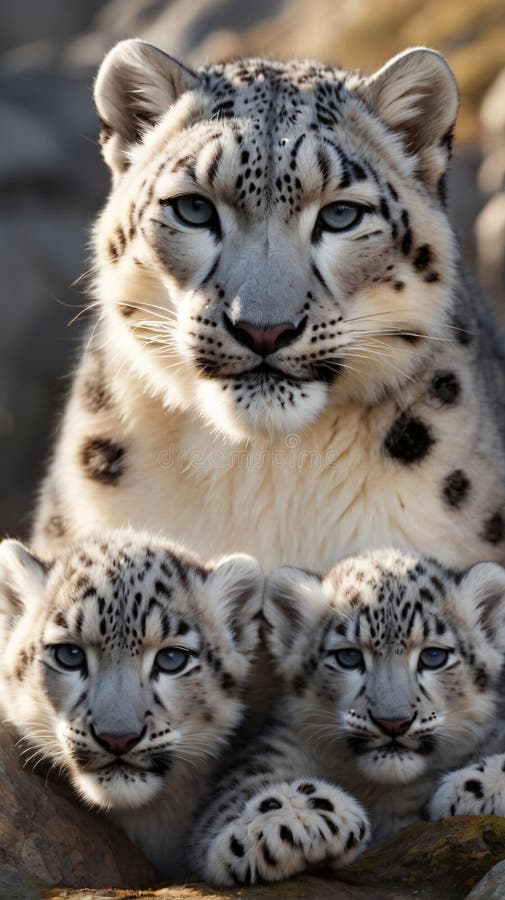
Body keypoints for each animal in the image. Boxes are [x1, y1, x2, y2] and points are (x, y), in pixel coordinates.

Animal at [190, 548, 505, 885]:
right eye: (349, 657)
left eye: (434, 656)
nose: (393, 722)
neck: (388, 795)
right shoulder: (275, 751)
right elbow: (235, 796)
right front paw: (296, 818)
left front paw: (478, 789)